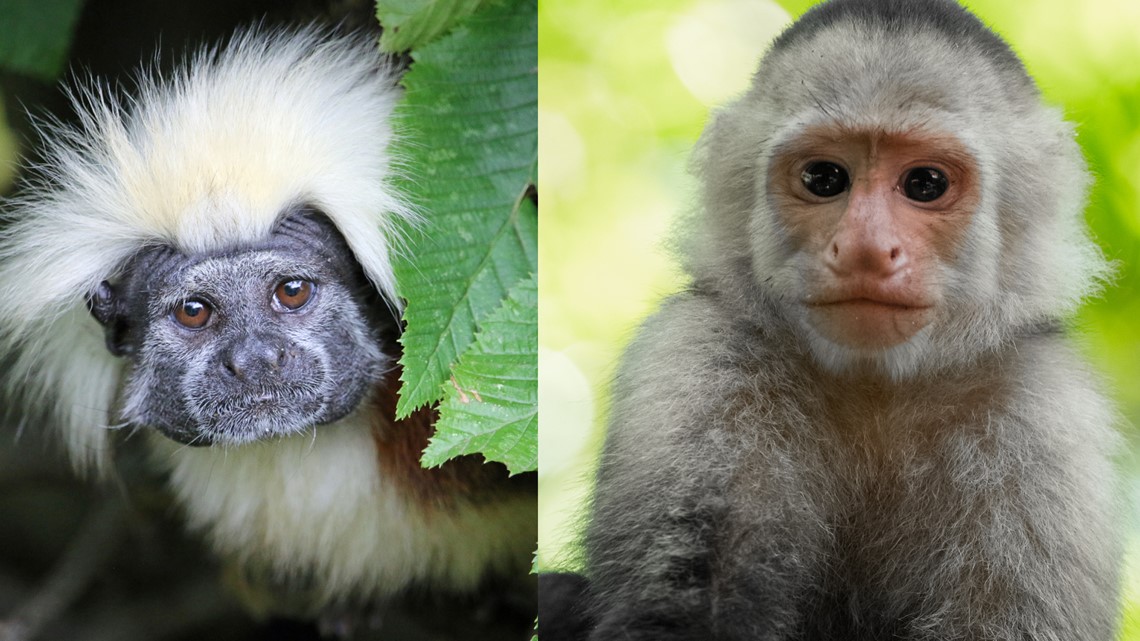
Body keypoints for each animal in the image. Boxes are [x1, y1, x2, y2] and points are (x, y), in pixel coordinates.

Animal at [546, 0, 1122, 639]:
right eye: (824, 179)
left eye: (925, 183)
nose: (866, 250)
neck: (874, 387)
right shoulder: (696, 354)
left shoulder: (1045, 412)